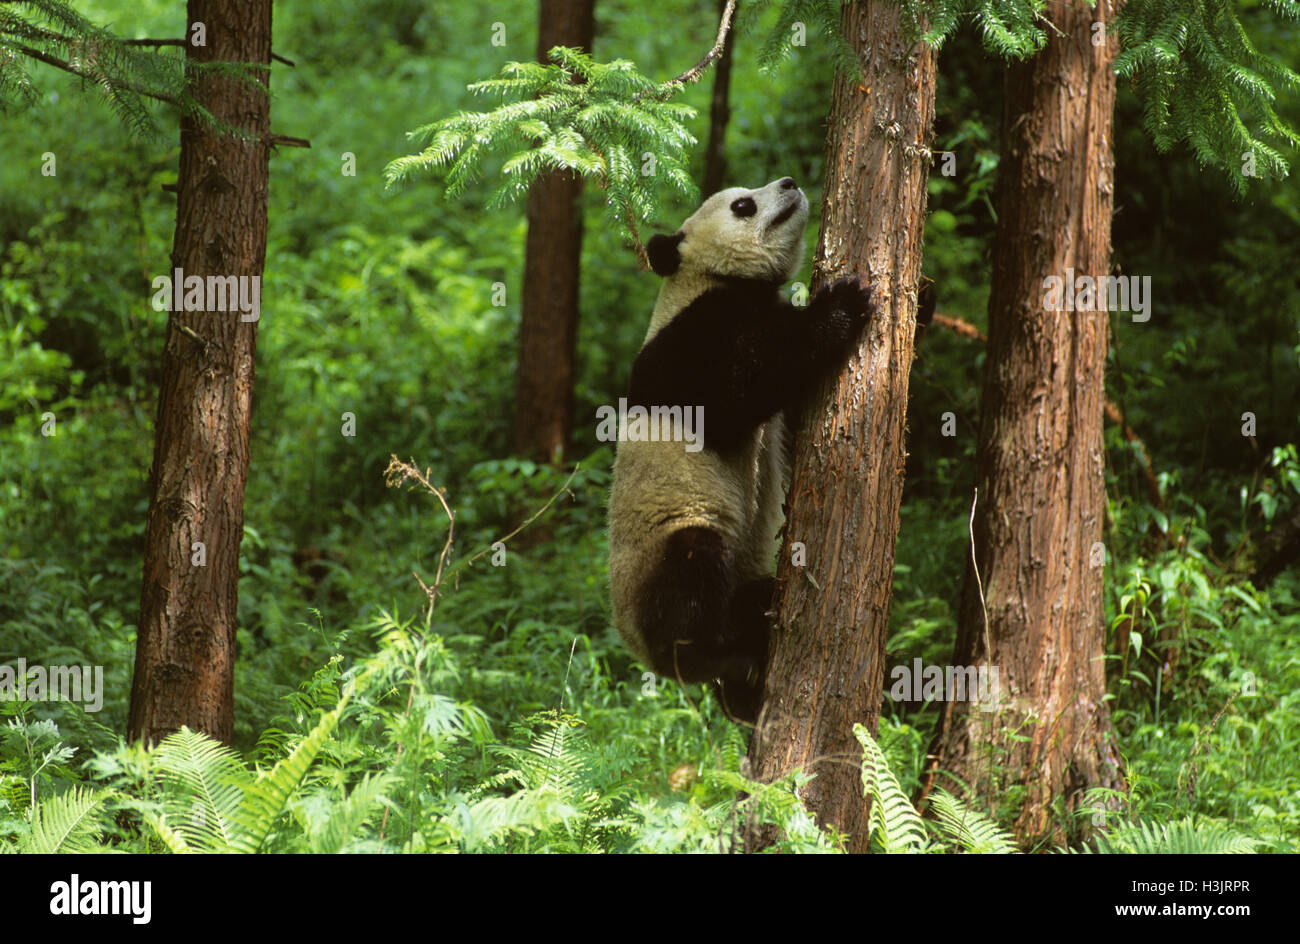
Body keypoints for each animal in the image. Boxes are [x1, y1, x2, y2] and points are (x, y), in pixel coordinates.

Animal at [607, 176, 878, 724]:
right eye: (743, 205)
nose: (790, 183)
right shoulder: (691, 335)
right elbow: (732, 397)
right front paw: (843, 304)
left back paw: (745, 678)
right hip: (664, 544)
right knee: (690, 576)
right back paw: (723, 652)